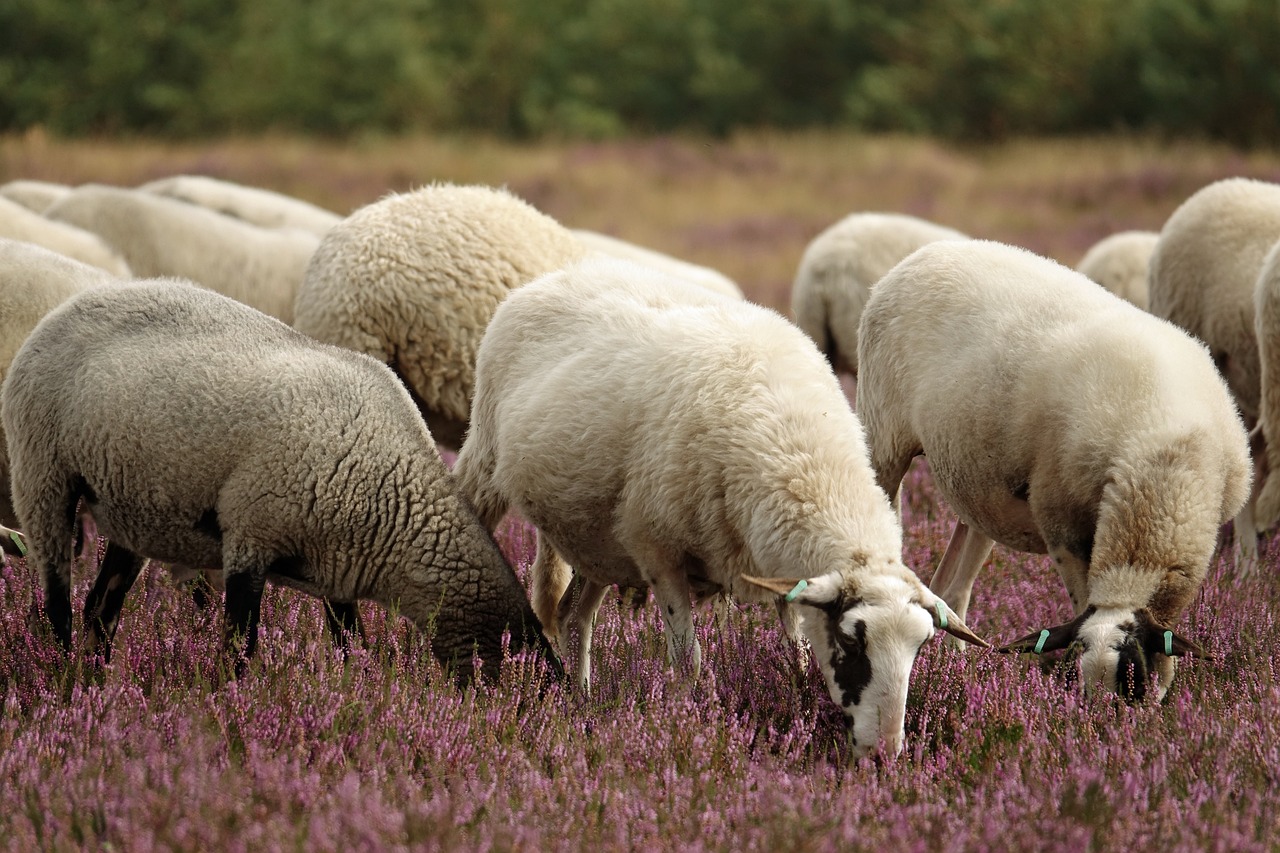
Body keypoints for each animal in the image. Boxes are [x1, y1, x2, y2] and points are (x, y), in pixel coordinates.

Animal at [2, 279, 559, 680]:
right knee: (57, 602)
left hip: (130, 510)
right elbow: (239, 648)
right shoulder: (251, 537)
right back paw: (60, 677)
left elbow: (352, 649)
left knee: (100, 610)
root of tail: (69, 307)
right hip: (42, 474)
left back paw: (94, 683)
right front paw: (227, 703)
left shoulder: (338, 571)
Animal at [453, 255, 987, 758]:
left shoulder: (776, 567)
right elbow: (688, 663)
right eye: (852, 641)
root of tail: (554, 278)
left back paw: (581, 701)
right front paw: (684, 724)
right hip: (486, 457)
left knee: (571, 617)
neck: (802, 453)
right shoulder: (658, 553)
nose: (887, 753)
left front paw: (798, 696)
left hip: (596, 536)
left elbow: (794, 648)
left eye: (920, 646)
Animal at [857, 239, 1251, 703]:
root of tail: (929, 251)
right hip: (883, 437)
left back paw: (954, 662)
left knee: (953, 582)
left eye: (1132, 679)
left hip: (981, 485)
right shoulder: (1062, 521)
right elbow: (1080, 603)